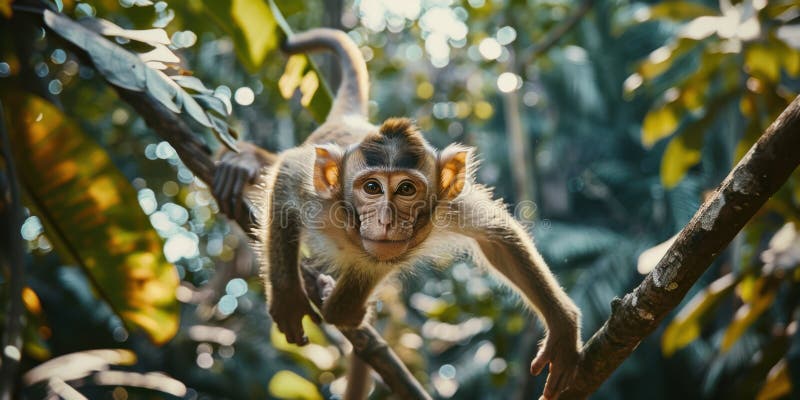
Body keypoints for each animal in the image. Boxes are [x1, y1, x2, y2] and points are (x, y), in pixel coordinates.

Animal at [213, 28, 581, 399]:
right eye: (371, 188)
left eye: (406, 189)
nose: (386, 220)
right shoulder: (317, 195)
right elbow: (286, 176)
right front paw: (288, 294)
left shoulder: (448, 206)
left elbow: (498, 237)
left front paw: (562, 330)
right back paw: (245, 161)